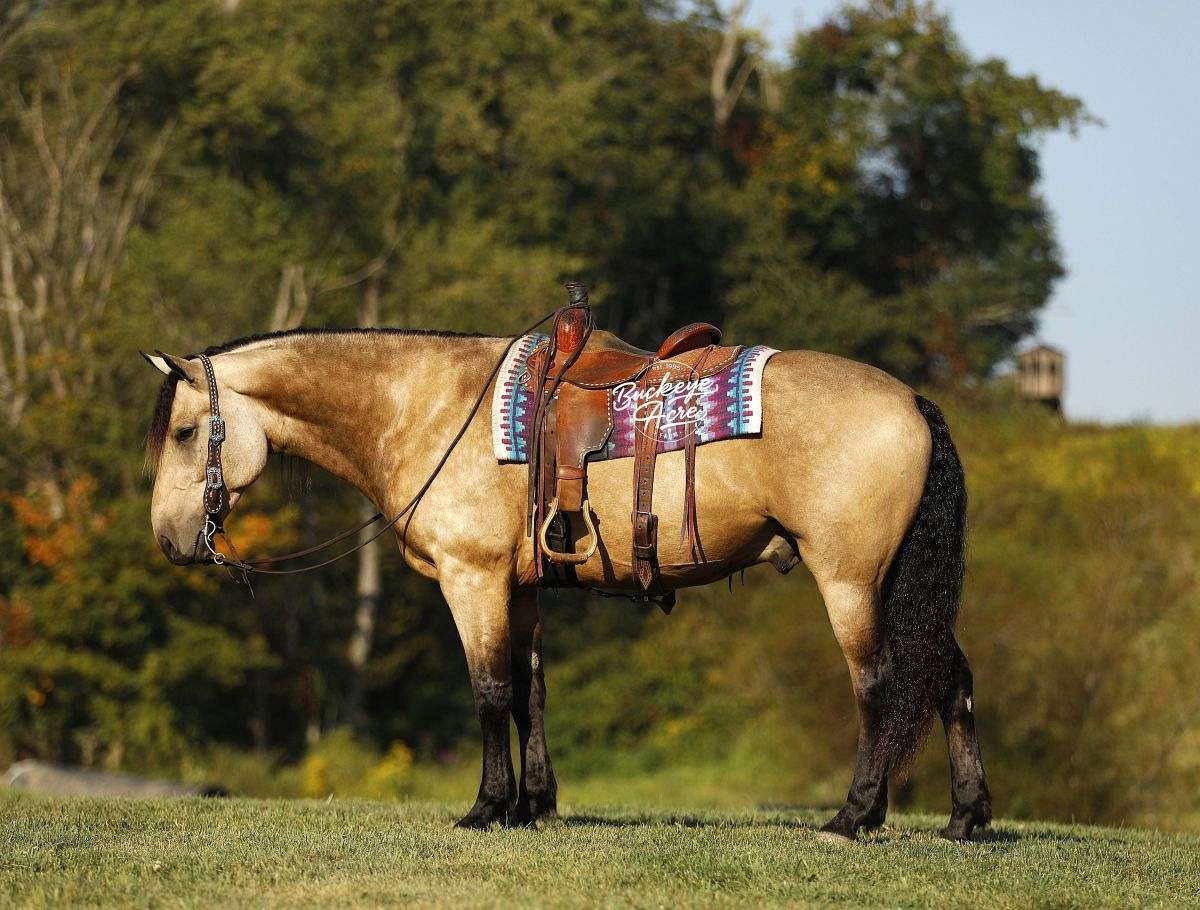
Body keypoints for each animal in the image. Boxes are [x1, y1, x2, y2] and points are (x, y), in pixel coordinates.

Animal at [142, 322, 992, 841]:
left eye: (184, 432)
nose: (170, 541)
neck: (427, 407)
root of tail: (912, 400)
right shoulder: (520, 590)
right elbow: (529, 693)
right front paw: (533, 805)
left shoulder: (473, 581)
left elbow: (489, 693)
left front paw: (487, 807)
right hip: (904, 586)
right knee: (951, 681)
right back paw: (966, 817)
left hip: (851, 581)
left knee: (880, 683)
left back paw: (854, 815)